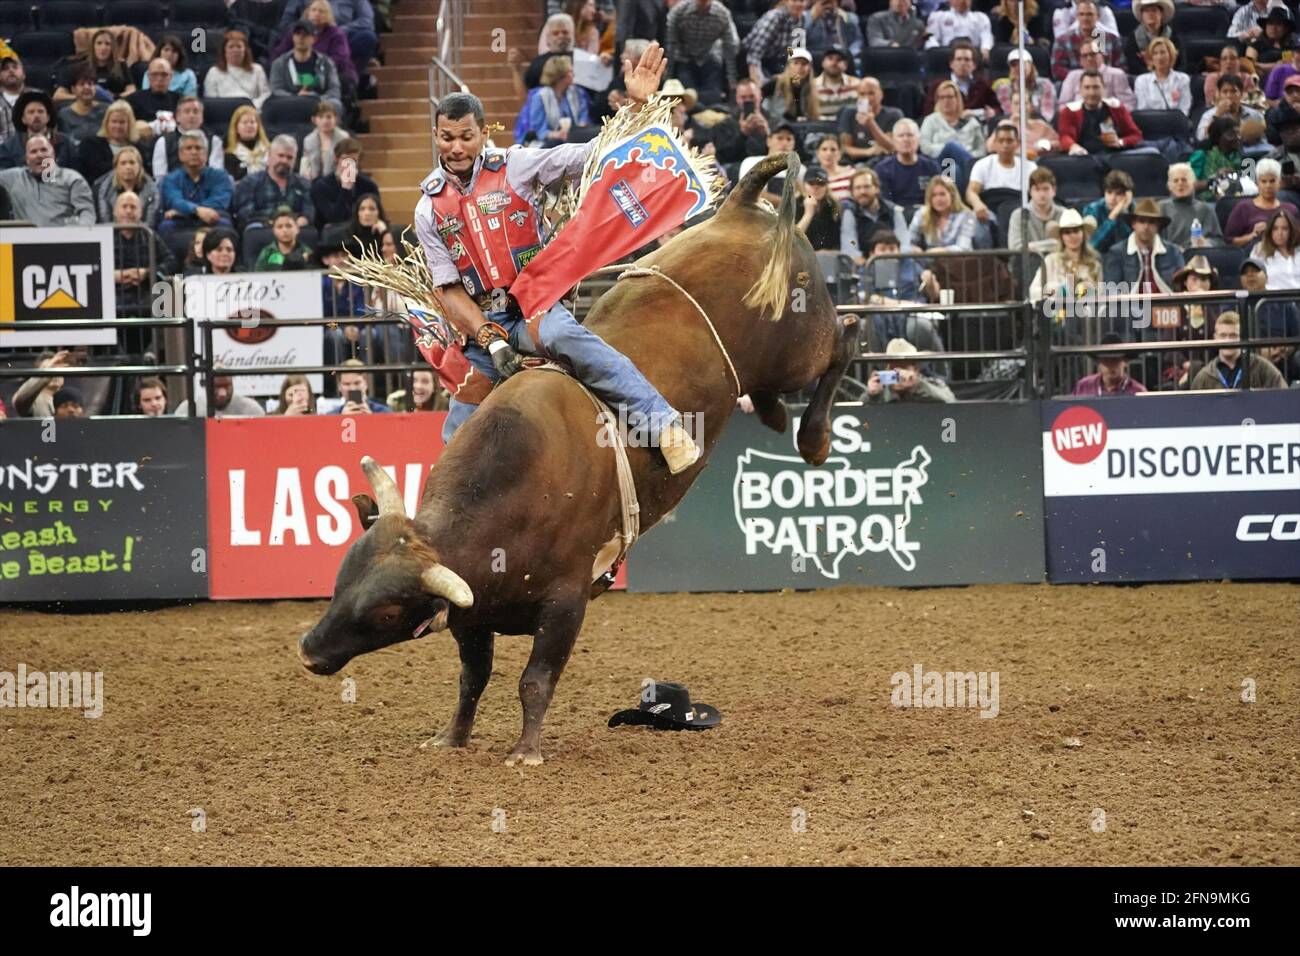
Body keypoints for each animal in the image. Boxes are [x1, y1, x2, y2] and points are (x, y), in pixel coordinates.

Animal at [298, 154, 856, 765]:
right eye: (342, 578)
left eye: (387, 613)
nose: (309, 651)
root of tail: (741, 206)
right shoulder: (472, 615)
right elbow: (473, 677)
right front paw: (453, 737)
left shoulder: (566, 602)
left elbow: (535, 679)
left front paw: (525, 750)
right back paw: (777, 415)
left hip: (801, 340)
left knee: (843, 342)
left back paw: (813, 437)